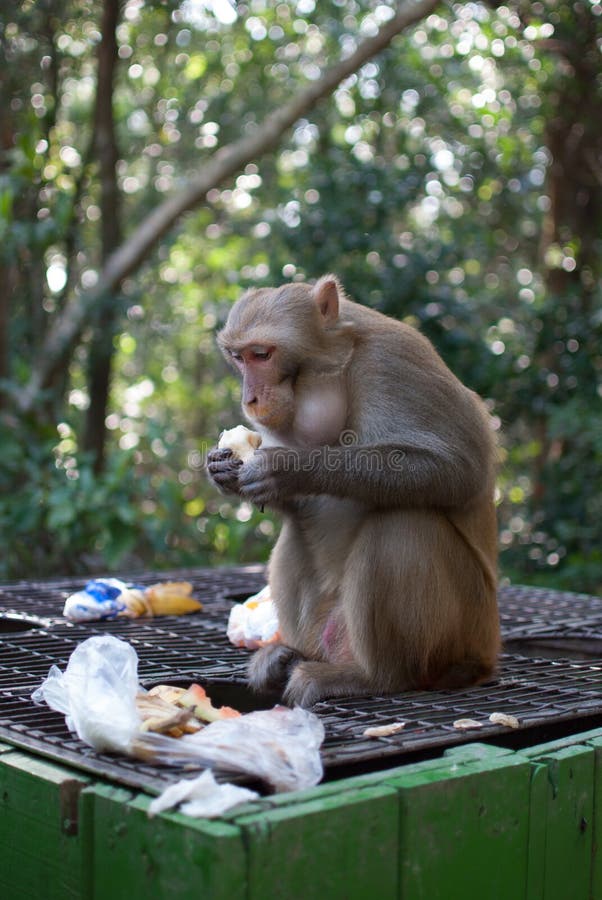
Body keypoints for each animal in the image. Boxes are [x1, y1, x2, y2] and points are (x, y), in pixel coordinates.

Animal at [207, 275, 500, 708]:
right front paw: (223, 470)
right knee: (295, 535)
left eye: (261, 354)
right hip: (324, 624)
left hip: (464, 633)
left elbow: (460, 470)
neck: (335, 363)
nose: (250, 398)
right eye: (238, 358)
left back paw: (375, 677)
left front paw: (290, 469)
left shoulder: (392, 362)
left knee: (404, 524)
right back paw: (287, 658)